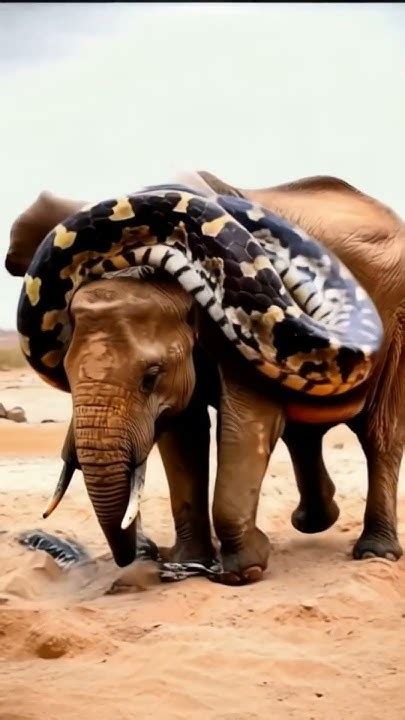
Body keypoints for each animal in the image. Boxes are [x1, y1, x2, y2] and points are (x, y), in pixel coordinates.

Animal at [5, 170, 404, 584]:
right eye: (66, 375)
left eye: (151, 376)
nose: (144, 555)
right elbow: (185, 435)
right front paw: (190, 559)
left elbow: (246, 424)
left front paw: (242, 568)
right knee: (304, 434)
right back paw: (315, 522)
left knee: (382, 436)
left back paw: (375, 551)